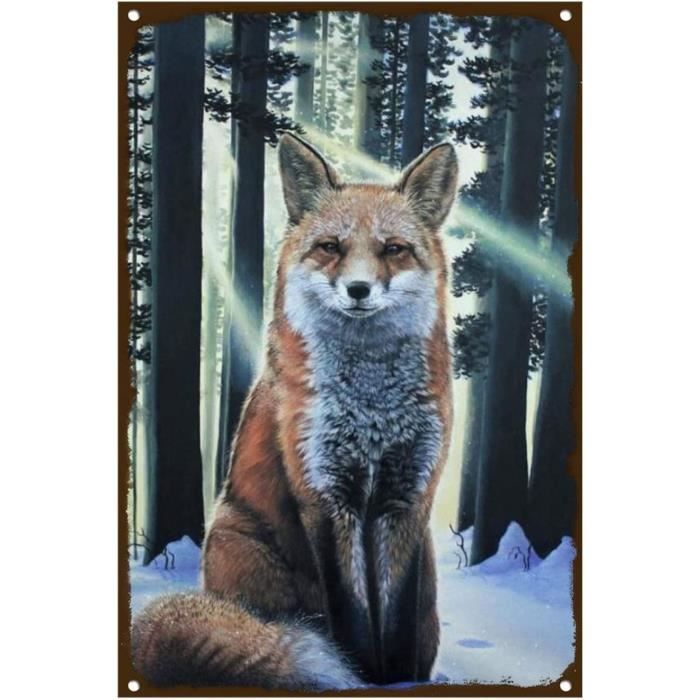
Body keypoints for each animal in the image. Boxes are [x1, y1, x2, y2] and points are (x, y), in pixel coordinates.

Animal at [131, 132, 458, 690]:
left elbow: (396, 620)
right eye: (331, 247)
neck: (370, 406)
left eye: (393, 249)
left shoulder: (408, 496)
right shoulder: (324, 496)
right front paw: (362, 677)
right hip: (243, 548)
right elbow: (350, 616)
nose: (358, 290)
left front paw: (399, 680)